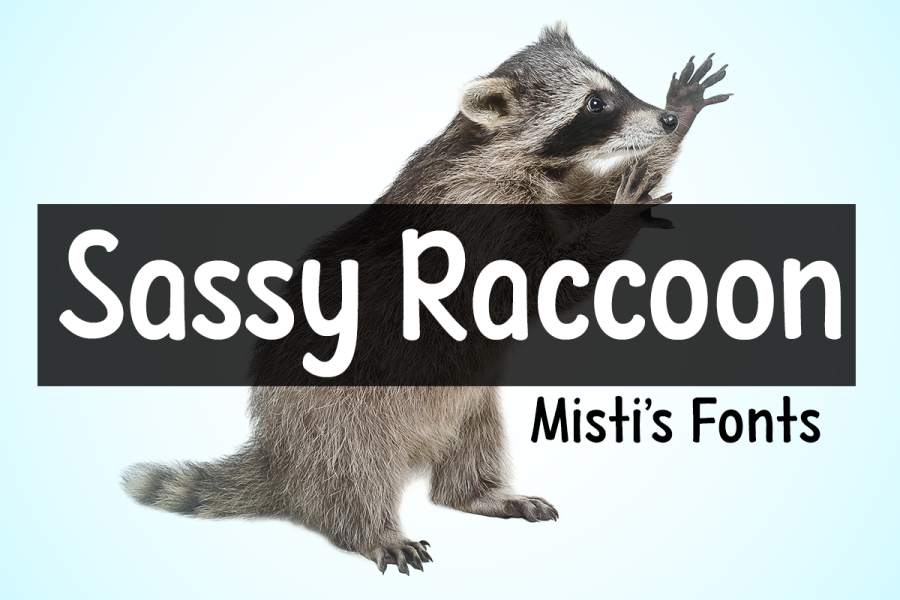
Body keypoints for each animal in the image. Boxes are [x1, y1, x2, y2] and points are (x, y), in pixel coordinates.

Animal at [122, 21, 730, 574]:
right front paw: (625, 208)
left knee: (474, 436)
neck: (507, 155)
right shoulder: (478, 219)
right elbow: (542, 283)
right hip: (339, 409)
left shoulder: (554, 186)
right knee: (351, 470)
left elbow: (589, 199)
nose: (663, 120)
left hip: (466, 394)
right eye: (594, 103)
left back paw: (477, 491)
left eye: (613, 84)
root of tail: (282, 453)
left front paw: (672, 130)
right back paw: (370, 528)